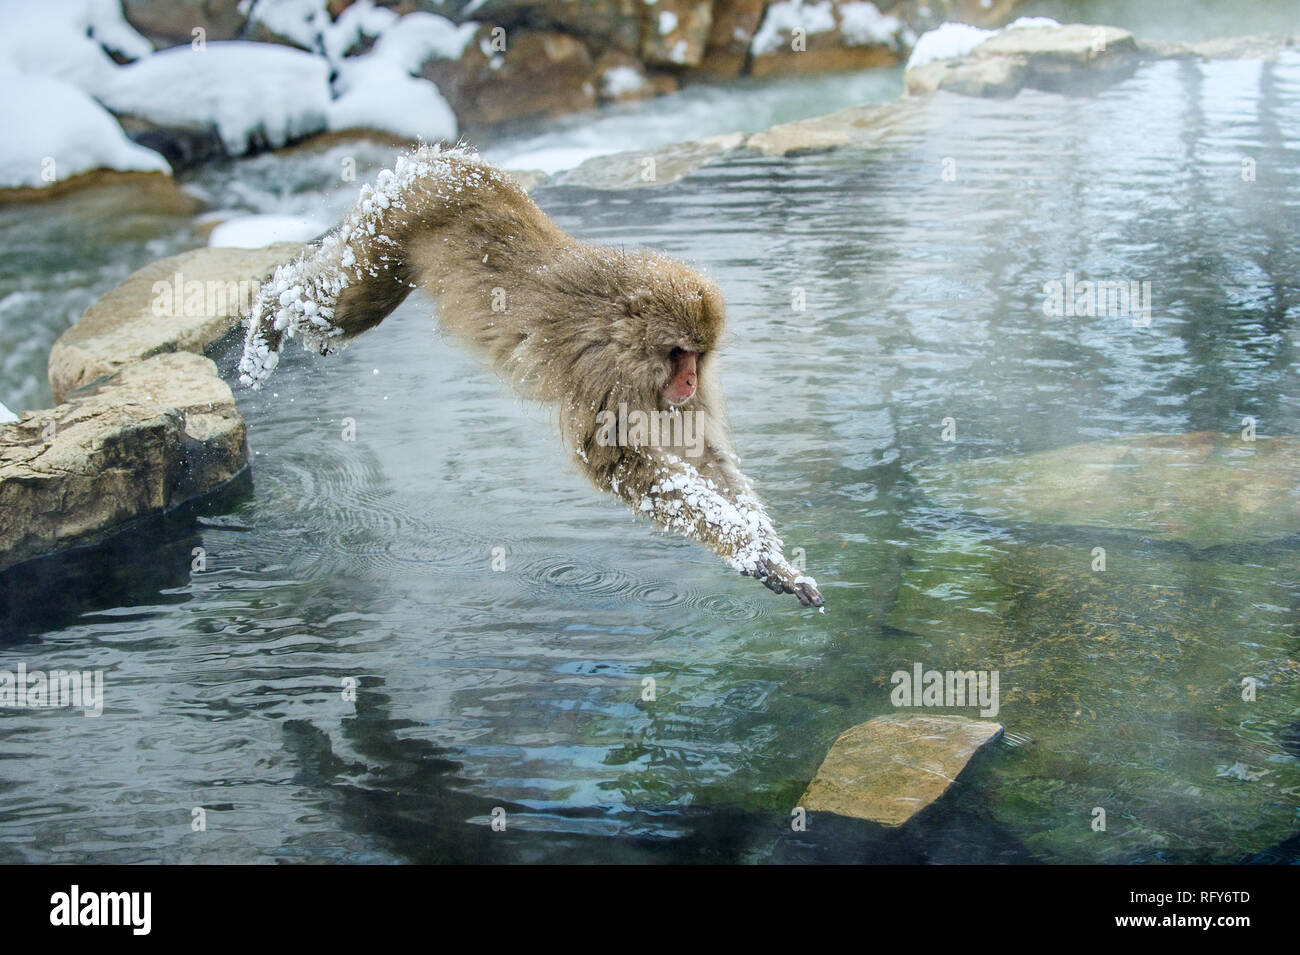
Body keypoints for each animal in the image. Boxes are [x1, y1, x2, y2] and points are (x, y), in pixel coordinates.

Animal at [238, 144, 823, 608]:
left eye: (697, 357)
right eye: (678, 353)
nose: (688, 384)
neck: (623, 333)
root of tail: (441, 161)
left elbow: (703, 454)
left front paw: (770, 559)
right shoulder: (603, 372)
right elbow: (615, 461)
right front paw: (752, 551)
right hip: (393, 227)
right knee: (338, 306)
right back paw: (267, 316)